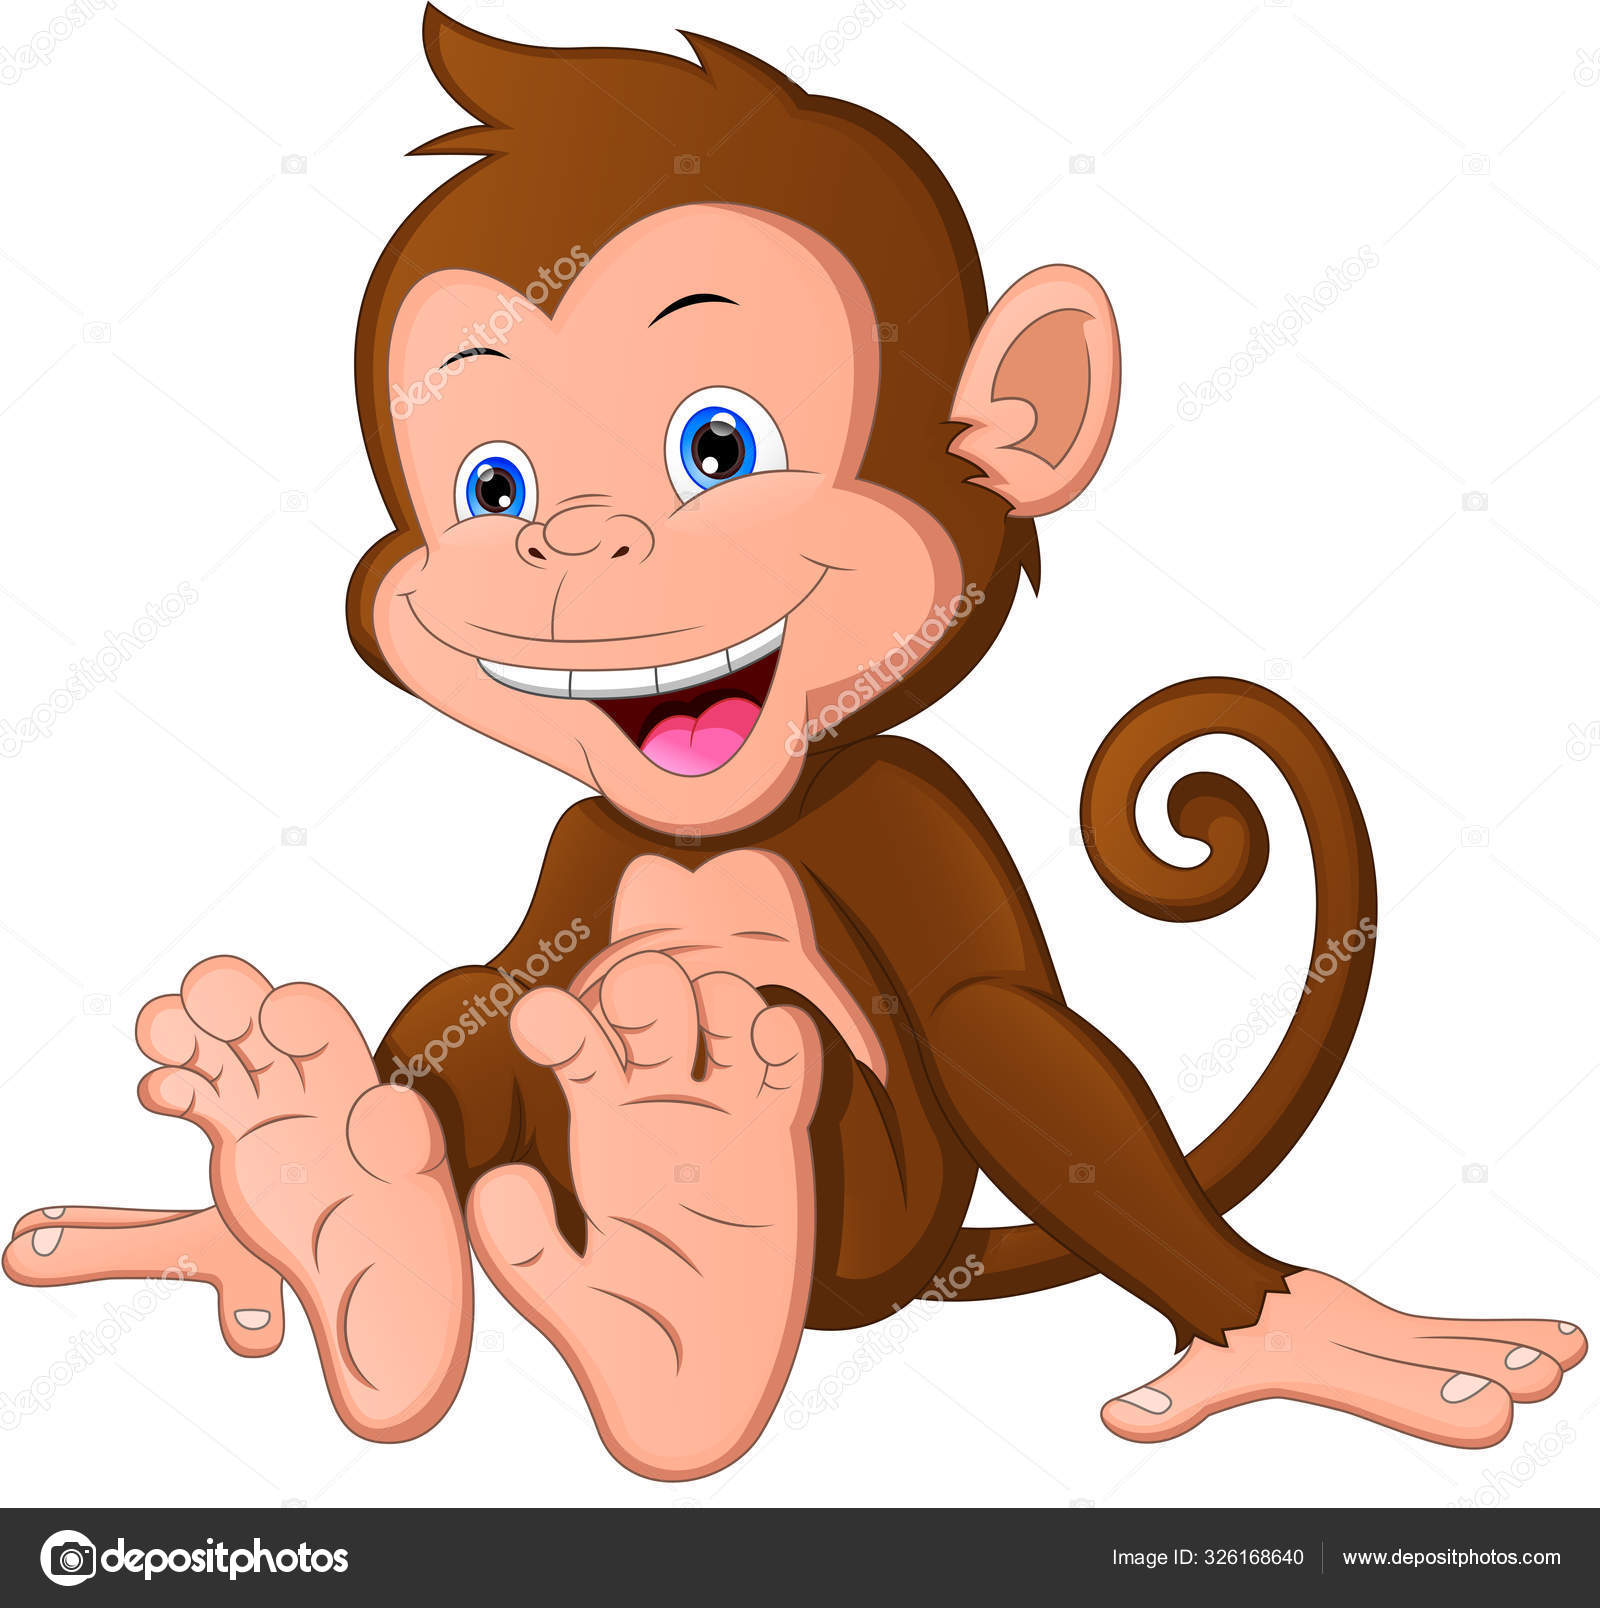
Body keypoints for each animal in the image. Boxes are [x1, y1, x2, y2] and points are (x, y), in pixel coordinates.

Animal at [6, 8, 1584, 1478]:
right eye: (492, 486)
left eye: (719, 447)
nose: (571, 539)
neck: (732, 821)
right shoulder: (590, 836)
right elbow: (491, 984)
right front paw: (261, 1206)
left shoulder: (907, 809)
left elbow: (994, 1027)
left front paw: (1288, 1333)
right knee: (486, 1009)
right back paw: (363, 1213)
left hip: (870, 1208)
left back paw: (681, 1267)